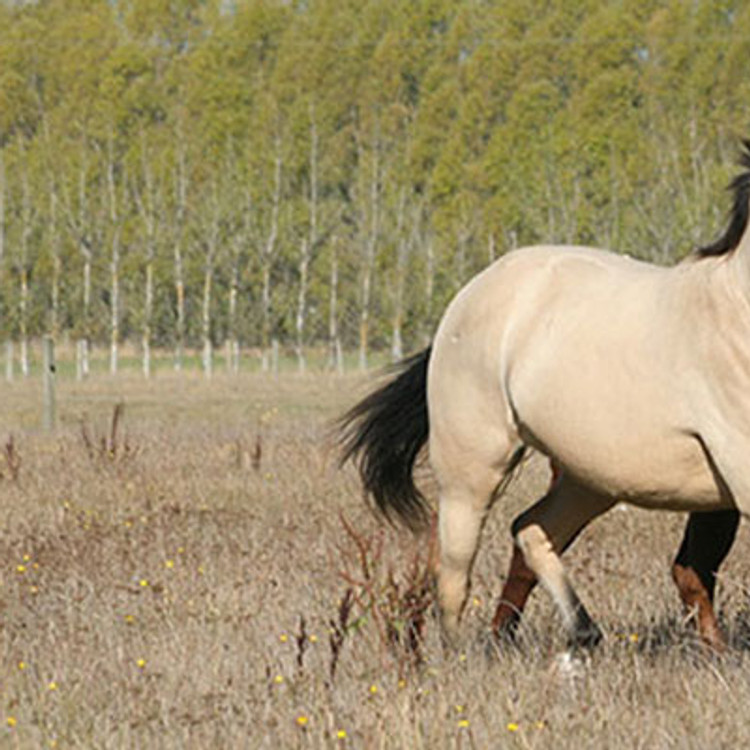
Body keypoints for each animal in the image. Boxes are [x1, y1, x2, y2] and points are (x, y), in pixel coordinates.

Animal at [339, 141, 750, 652]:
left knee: (530, 528)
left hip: (590, 477)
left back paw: (582, 631)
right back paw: (459, 657)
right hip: (472, 470)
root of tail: (470, 295)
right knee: (454, 571)